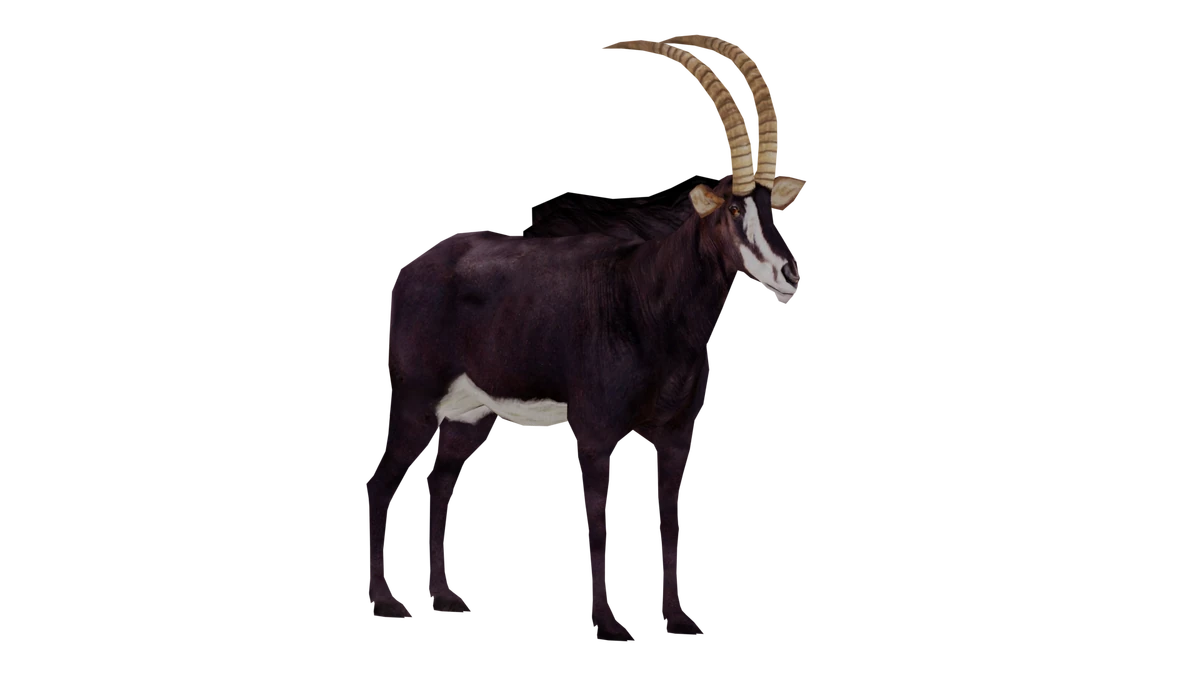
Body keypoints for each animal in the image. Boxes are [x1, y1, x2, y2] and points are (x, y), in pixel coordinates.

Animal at [374, 34, 807, 642]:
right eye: (732, 208)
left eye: (774, 207)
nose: (789, 274)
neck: (645, 300)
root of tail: (408, 271)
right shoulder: (596, 433)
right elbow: (601, 521)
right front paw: (608, 625)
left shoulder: (676, 439)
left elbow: (670, 524)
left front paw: (679, 622)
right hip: (415, 403)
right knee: (382, 480)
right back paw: (385, 604)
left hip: (470, 416)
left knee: (440, 485)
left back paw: (443, 600)